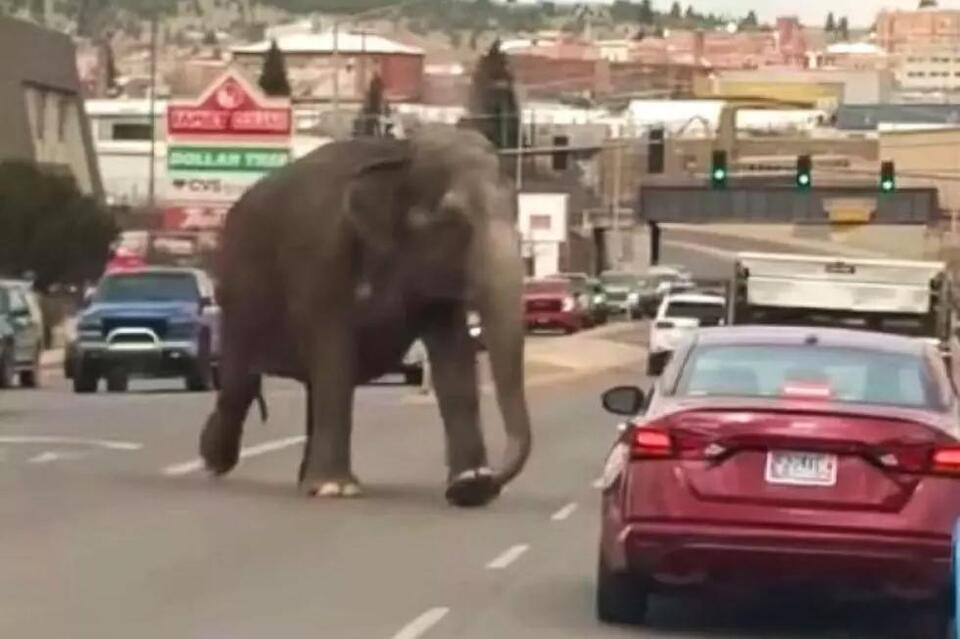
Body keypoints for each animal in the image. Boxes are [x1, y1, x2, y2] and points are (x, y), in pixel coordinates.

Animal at [198, 124, 532, 507]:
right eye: (453, 217)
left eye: (517, 209)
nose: (487, 481)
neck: (399, 151)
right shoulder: (321, 256)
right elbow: (335, 353)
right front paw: (335, 489)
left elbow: (454, 355)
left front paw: (470, 483)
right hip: (236, 296)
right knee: (241, 382)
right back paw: (215, 461)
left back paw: (302, 478)